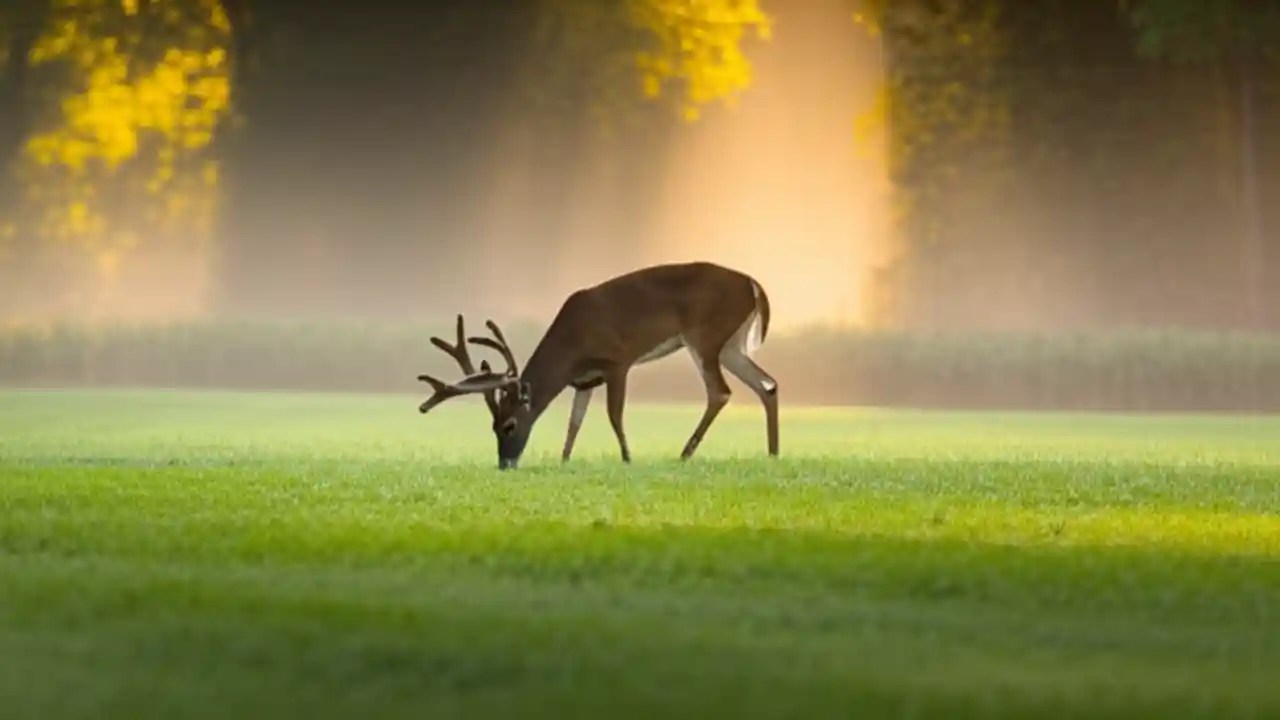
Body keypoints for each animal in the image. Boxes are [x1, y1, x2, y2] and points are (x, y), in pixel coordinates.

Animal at [415, 261, 778, 469]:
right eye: (492, 427)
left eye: (509, 426)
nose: (505, 463)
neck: (572, 346)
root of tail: (754, 285)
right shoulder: (585, 381)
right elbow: (575, 422)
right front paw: (564, 461)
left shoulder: (618, 361)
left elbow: (614, 414)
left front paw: (627, 459)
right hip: (730, 345)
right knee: (767, 385)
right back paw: (773, 453)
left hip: (705, 336)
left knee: (720, 391)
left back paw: (684, 454)